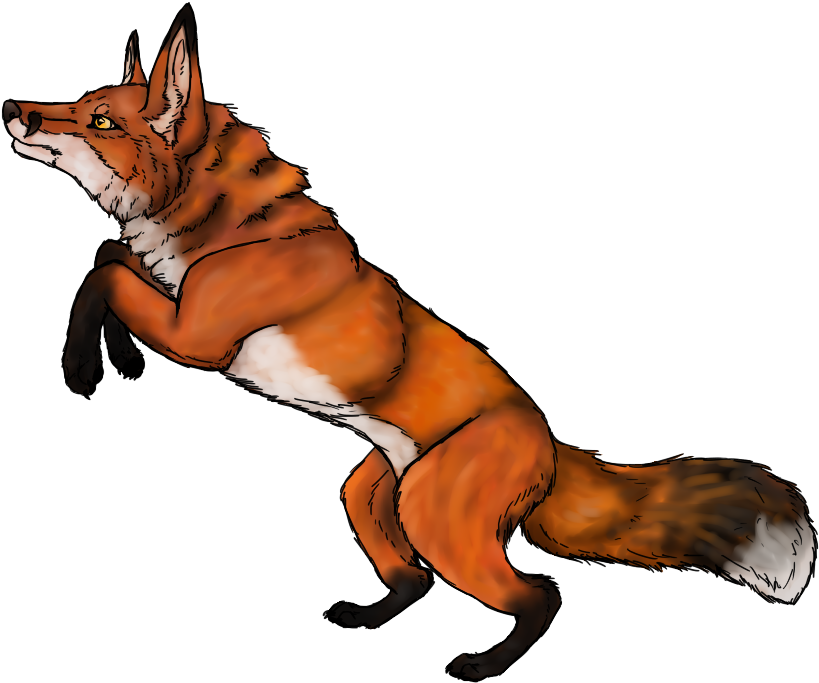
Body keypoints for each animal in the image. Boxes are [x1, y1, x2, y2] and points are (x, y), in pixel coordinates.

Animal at [5, 7, 813, 678]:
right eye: (78, 102)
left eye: (101, 120)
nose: (15, 108)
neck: (218, 226)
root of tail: (551, 445)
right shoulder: (173, 303)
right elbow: (109, 259)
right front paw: (111, 355)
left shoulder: (198, 339)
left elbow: (100, 276)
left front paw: (80, 366)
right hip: (371, 497)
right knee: (415, 580)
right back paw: (372, 618)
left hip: (436, 519)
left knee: (540, 595)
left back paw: (486, 665)